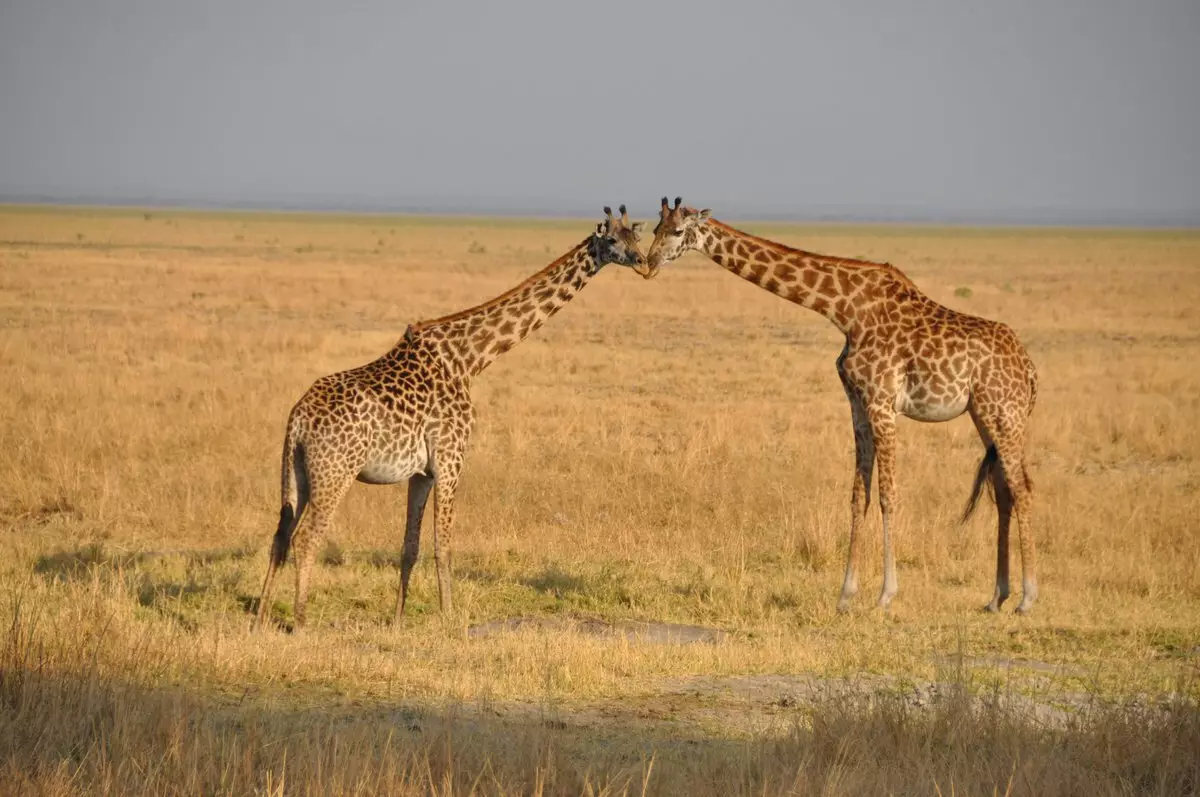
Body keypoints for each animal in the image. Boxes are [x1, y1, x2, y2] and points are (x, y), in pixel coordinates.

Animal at [253, 205, 648, 628]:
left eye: (636, 237)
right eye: (612, 240)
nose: (642, 262)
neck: (470, 358)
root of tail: (298, 419)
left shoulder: (421, 472)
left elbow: (410, 546)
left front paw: (398, 620)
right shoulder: (451, 460)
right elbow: (444, 545)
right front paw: (449, 619)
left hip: (295, 471)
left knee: (280, 535)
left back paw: (260, 617)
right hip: (335, 472)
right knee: (306, 537)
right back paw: (300, 621)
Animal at [648, 195, 1041, 612]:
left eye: (677, 231)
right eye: (655, 228)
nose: (649, 261)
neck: (845, 311)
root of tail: (1031, 371)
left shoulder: (882, 401)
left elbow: (888, 494)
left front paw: (885, 595)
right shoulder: (857, 404)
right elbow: (859, 495)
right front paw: (845, 594)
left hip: (1005, 413)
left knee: (1022, 488)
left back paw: (1027, 597)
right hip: (984, 416)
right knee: (1004, 489)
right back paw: (997, 596)